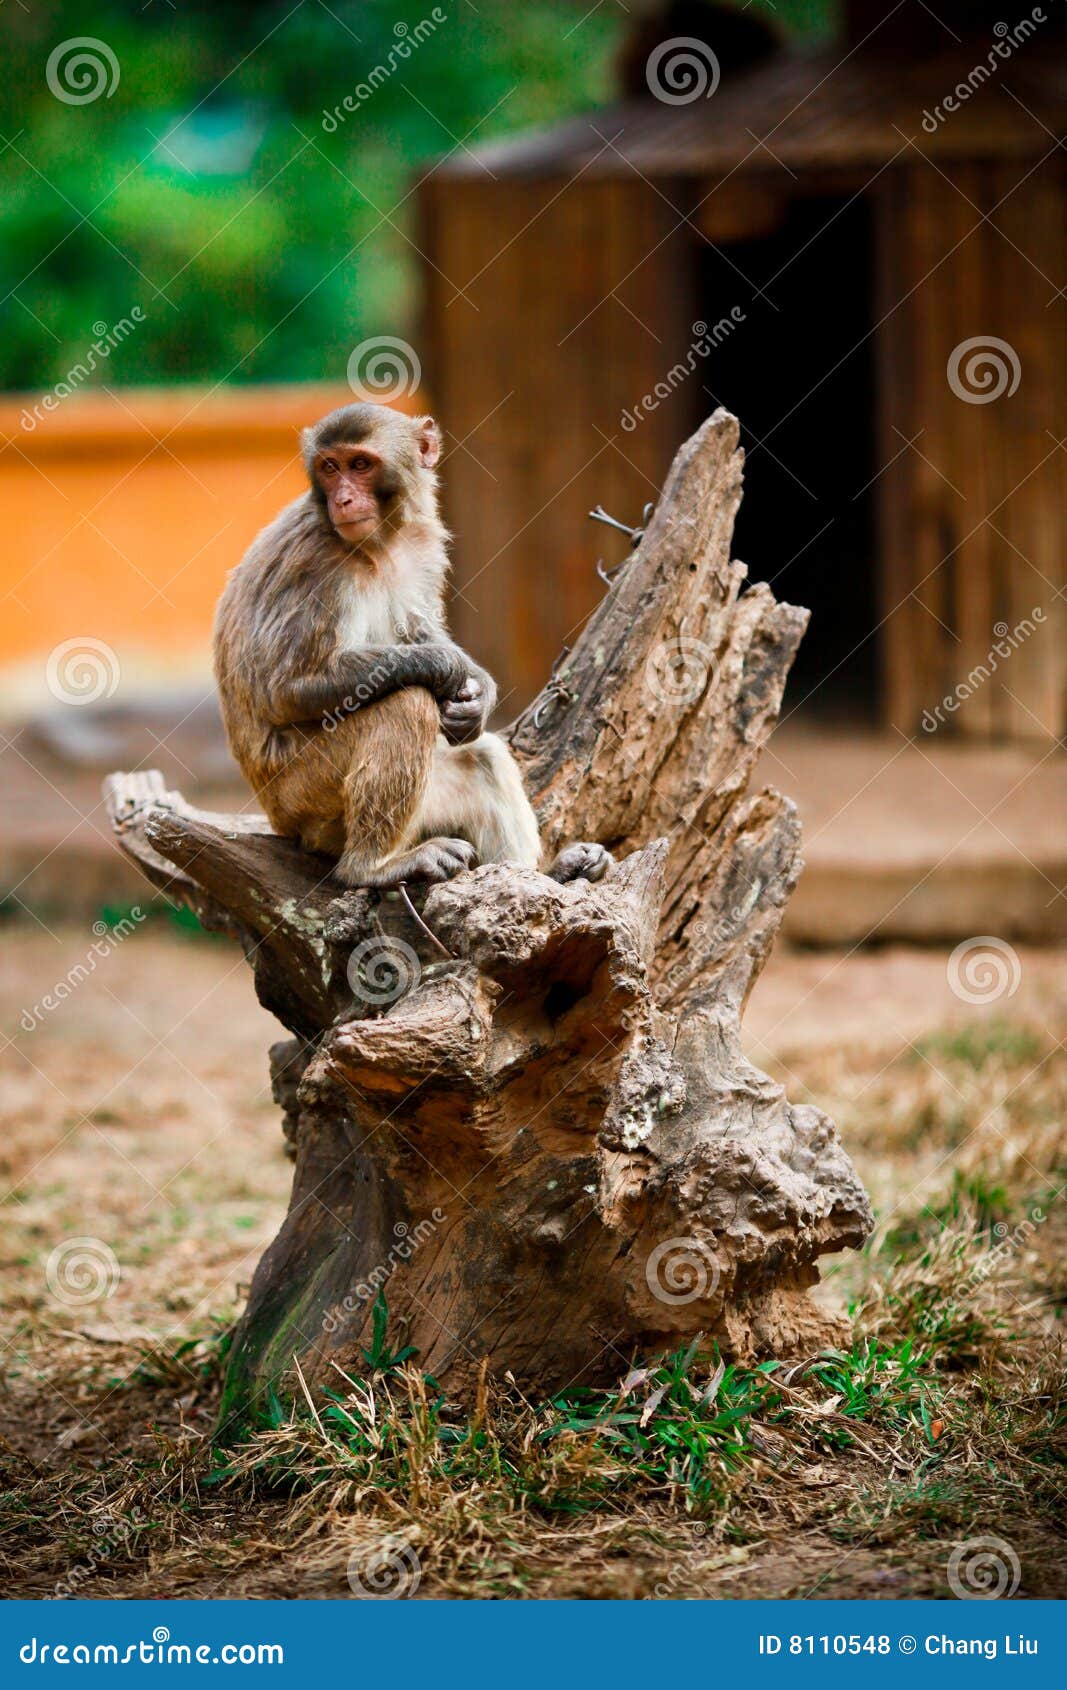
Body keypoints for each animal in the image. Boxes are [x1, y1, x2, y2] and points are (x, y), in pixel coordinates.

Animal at [213, 402, 610, 891]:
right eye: (330, 468)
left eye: (359, 465)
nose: (343, 500)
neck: (377, 546)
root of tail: (280, 822)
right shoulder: (312, 564)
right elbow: (282, 688)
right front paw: (443, 664)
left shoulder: (423, 545)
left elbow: (421, 631)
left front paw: (477, 695)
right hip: (305, 798)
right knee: (406, 705)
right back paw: (373, 866)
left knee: (482, 755)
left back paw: (544, 873)